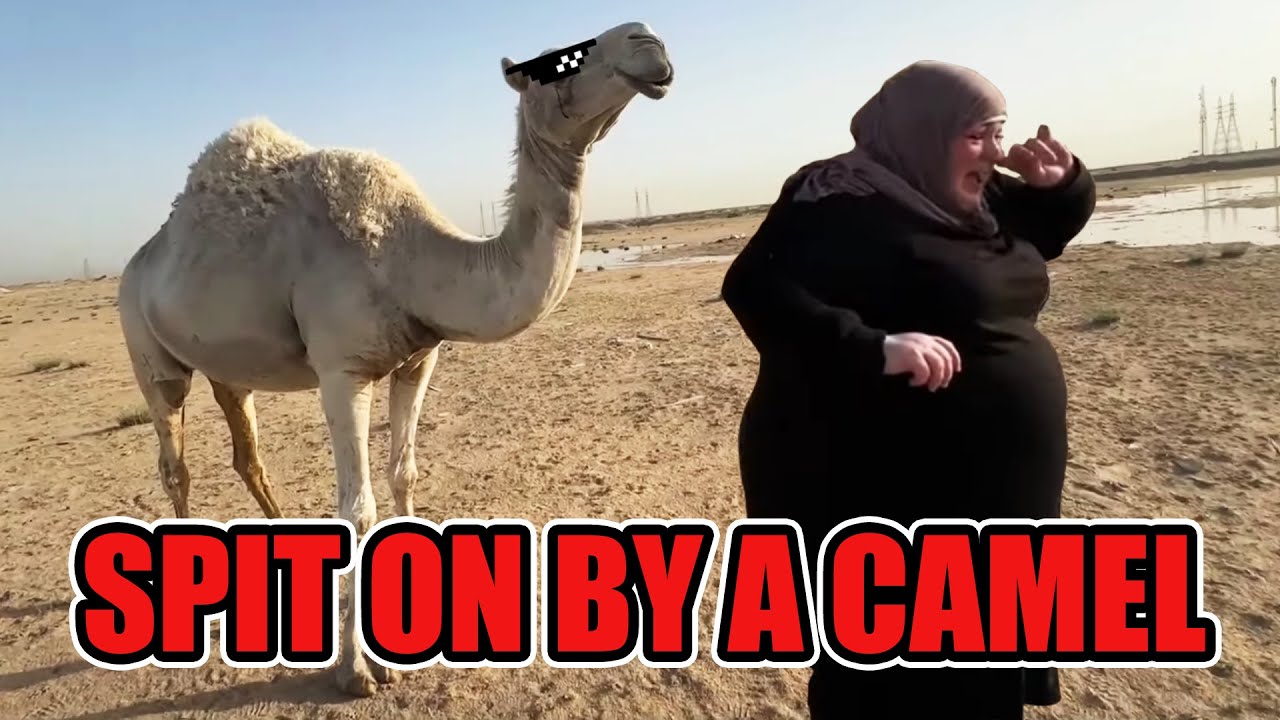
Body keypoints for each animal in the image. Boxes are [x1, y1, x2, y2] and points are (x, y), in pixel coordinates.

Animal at [115, 21, 673, 696]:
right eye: (558, 62)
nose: (647, 40)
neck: (410, 259)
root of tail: (139, 260)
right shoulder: (341, 370)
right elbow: (357, 509)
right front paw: (358, 670)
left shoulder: (418, 359)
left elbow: (403, 473)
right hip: (147, 347)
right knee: (175, 459)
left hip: (229, 367)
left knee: (245, 451)